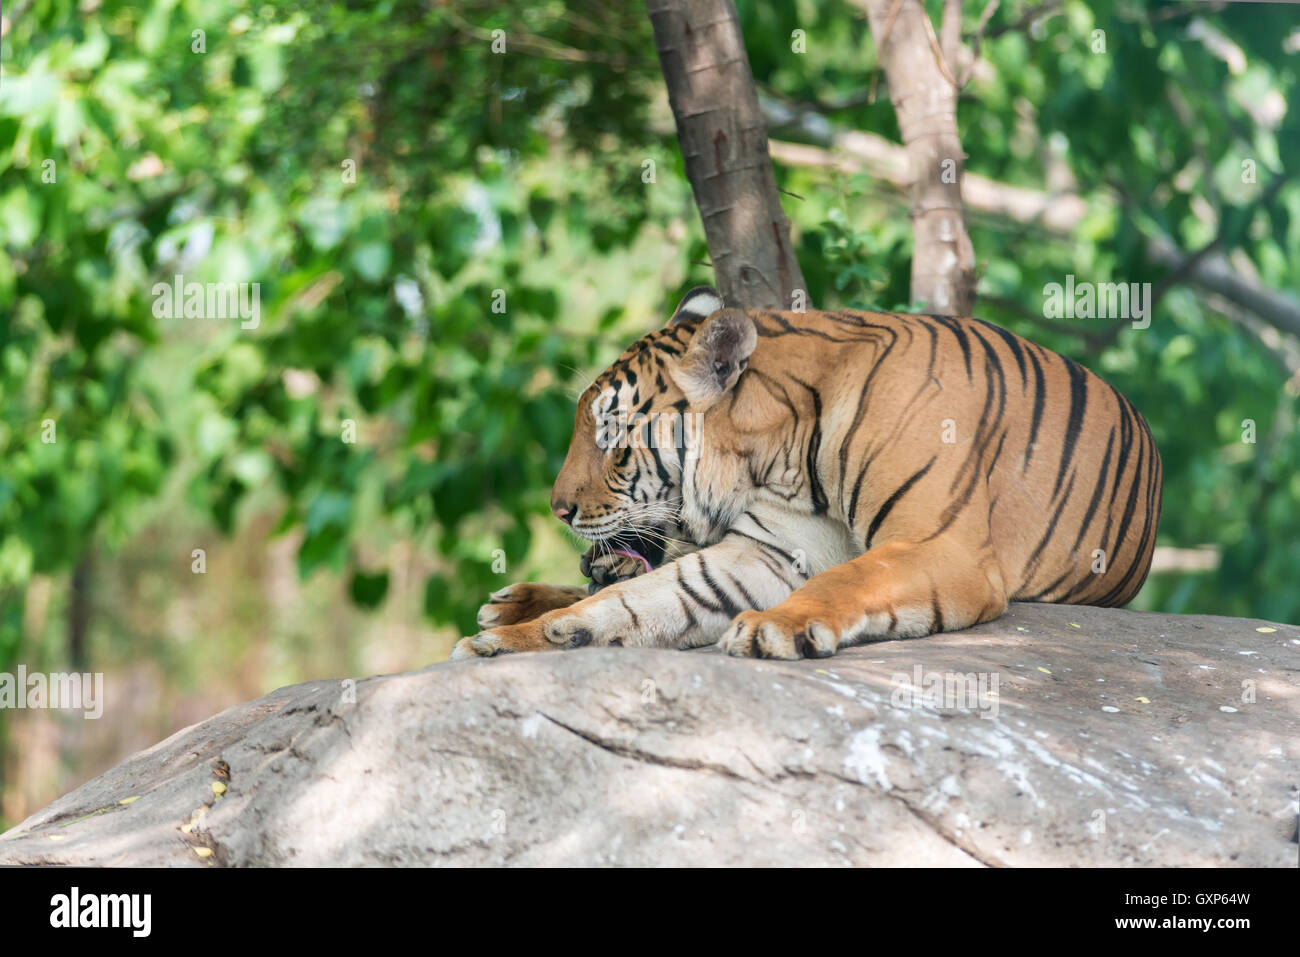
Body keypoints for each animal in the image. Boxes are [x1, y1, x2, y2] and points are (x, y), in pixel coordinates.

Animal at [450, 286, 1162, 661]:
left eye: (611, 434)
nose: (558, 509)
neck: (780, 457)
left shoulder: (940, 544)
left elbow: (850, 578)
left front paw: (775, 627)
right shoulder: (769, 552)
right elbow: (658, 594)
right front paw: (520, 638)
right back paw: (513, 603)